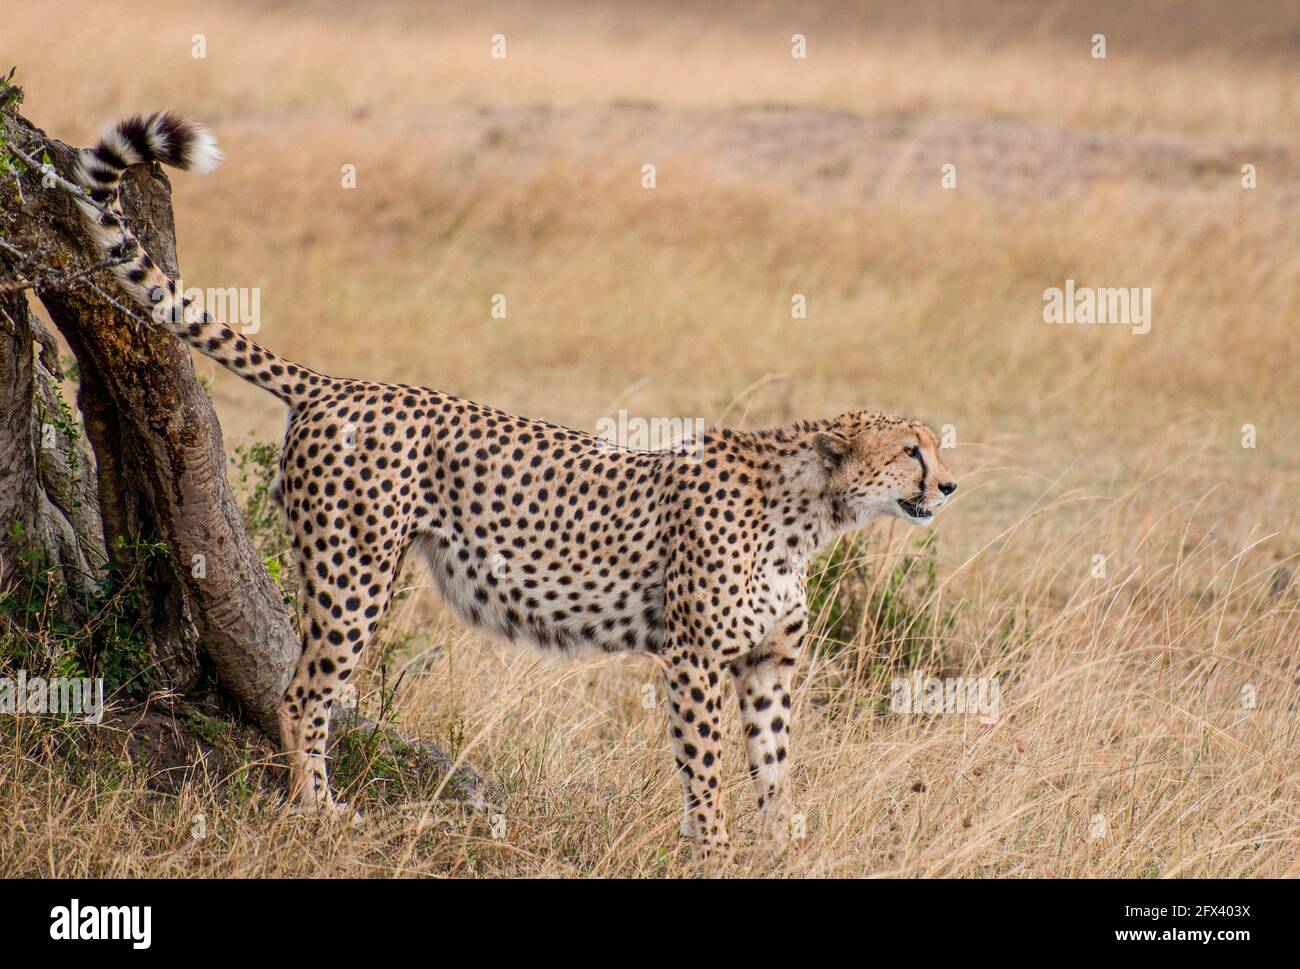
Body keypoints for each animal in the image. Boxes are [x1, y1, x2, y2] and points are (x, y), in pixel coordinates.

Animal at [73, 112, 958, 858]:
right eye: (911, 450)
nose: (949, 486)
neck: (812, 513)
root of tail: (342, 383)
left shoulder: (770, 660)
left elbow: (775, 767)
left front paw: (779, 848)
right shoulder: (694, 658)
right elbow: (706, 771)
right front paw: (713, 852)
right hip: (353, 573)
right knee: (301, 695)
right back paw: (317, 811)